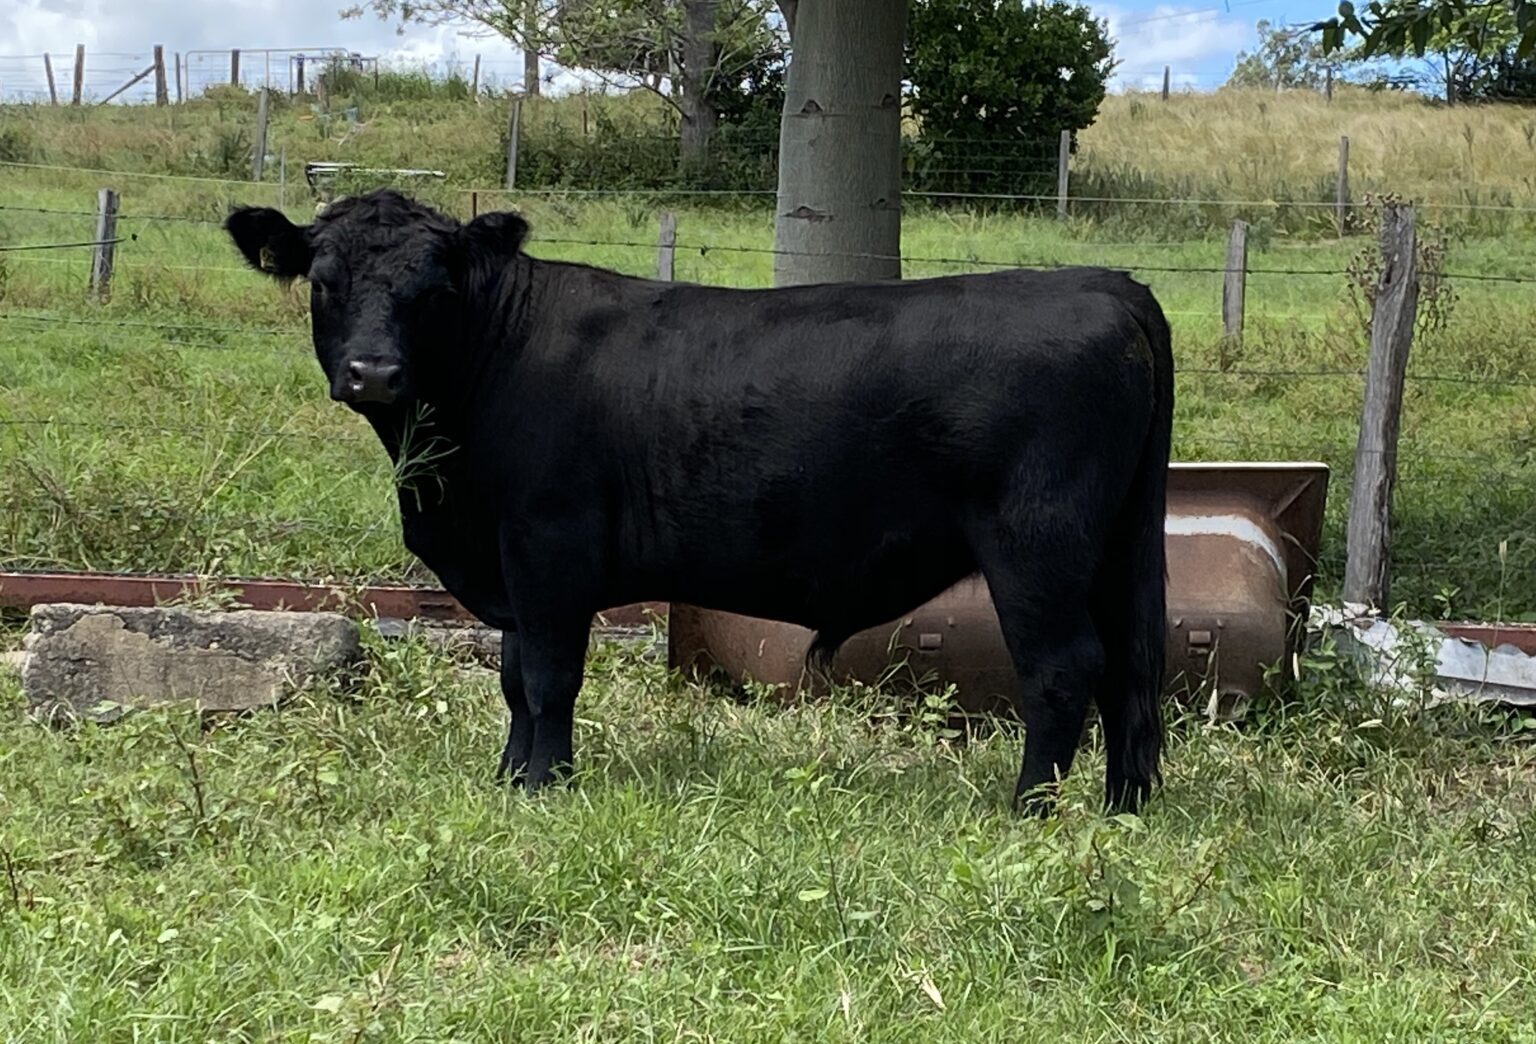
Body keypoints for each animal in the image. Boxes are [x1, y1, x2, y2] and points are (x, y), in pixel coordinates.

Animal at [224, 188, 1174, 816]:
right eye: (325, 280)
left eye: (435, 288)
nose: (373, 372)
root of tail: (1109, 284)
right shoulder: (508, 565)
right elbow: (513, 678)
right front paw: (511, 778)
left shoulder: (548, 544)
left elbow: (549, 676)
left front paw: (546, 787)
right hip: (1116, 544)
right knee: (1131, 665)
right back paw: (1122, 808)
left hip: (1035, 543)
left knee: (1064, 669)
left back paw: (1030, 811)